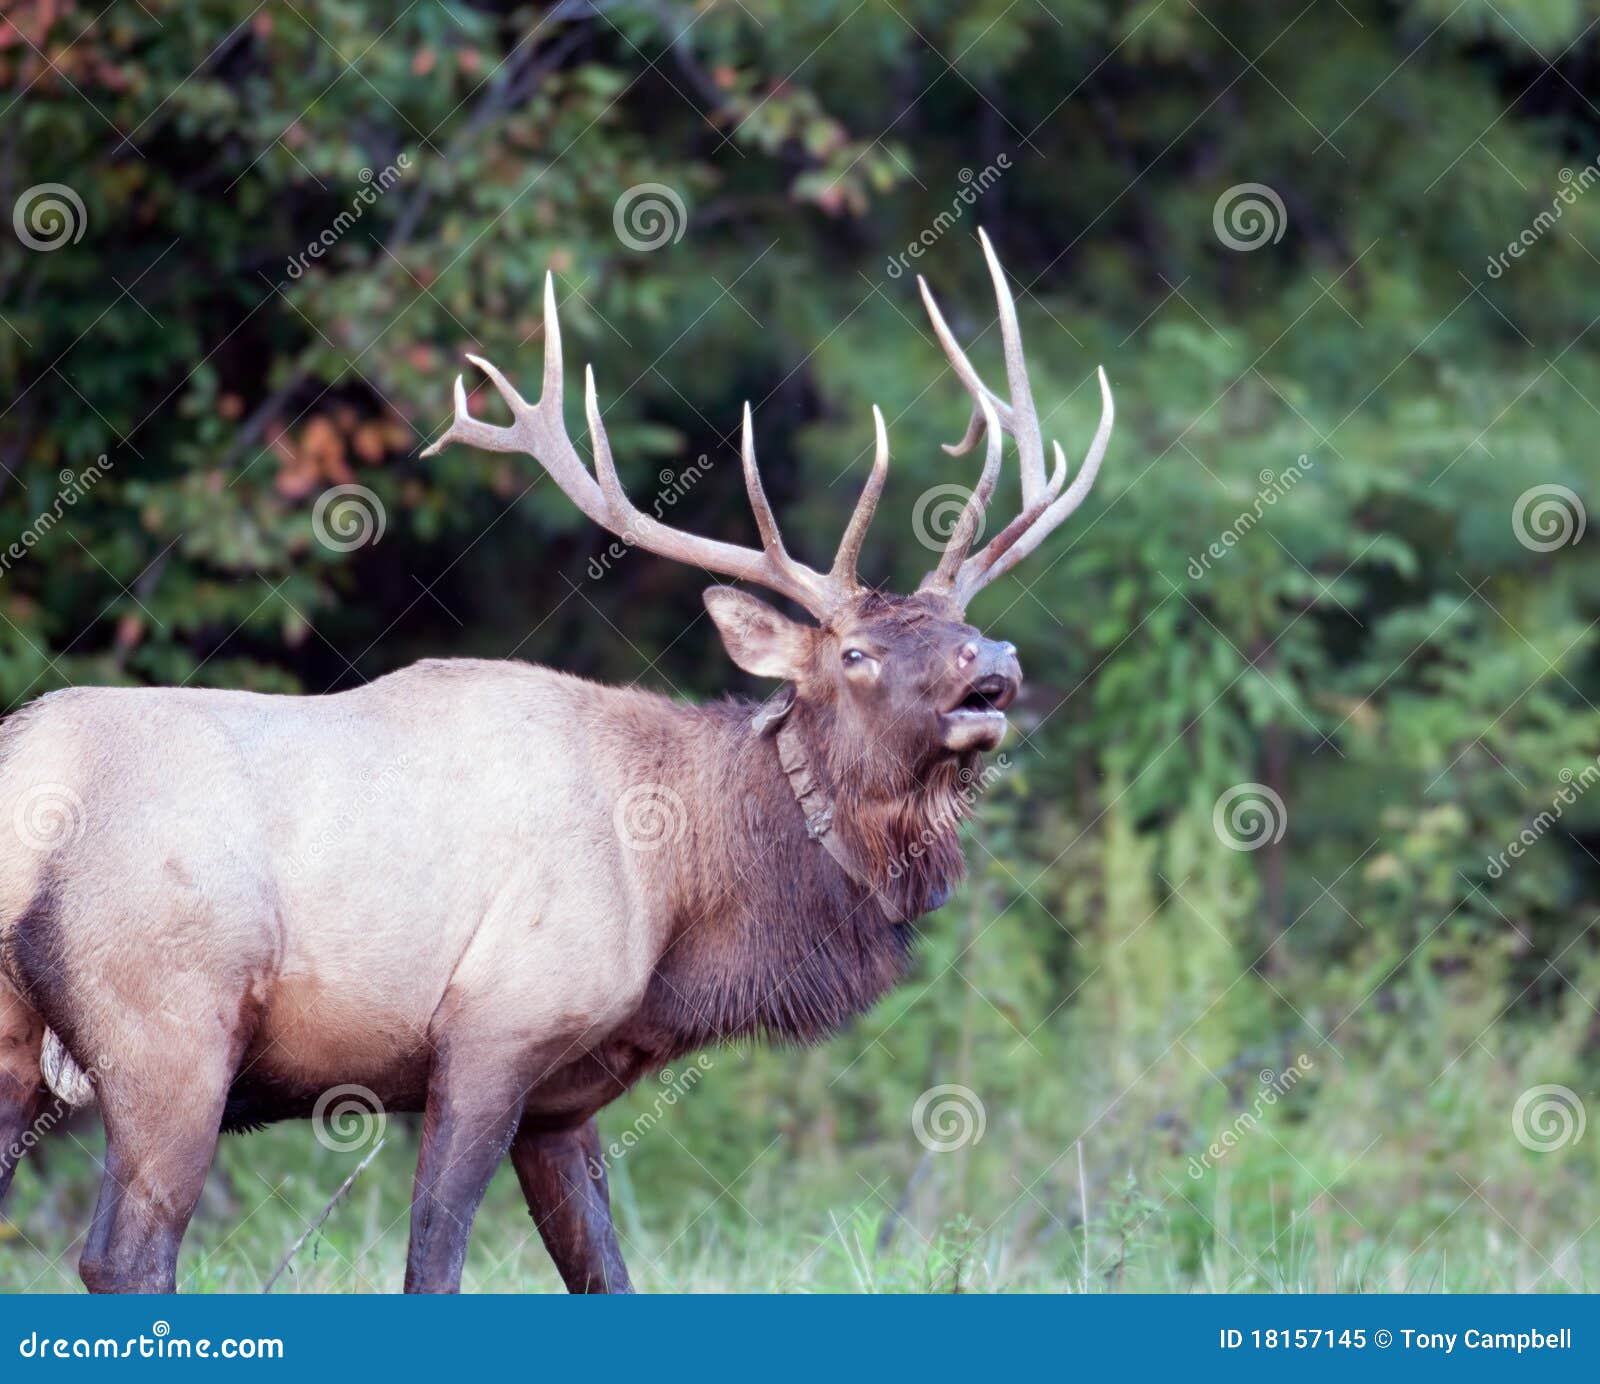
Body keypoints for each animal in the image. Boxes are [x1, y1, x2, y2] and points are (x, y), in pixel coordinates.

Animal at [0, 232, 1112, 1294]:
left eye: (959, 625)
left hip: (24, 1047)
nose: (994, 663)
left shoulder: (563, 1098)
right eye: (856, 653)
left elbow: (606, 1275)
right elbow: (433, 1264)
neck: (681, 900)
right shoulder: (497, 1024)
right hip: (170, 1022)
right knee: (125, 1255)